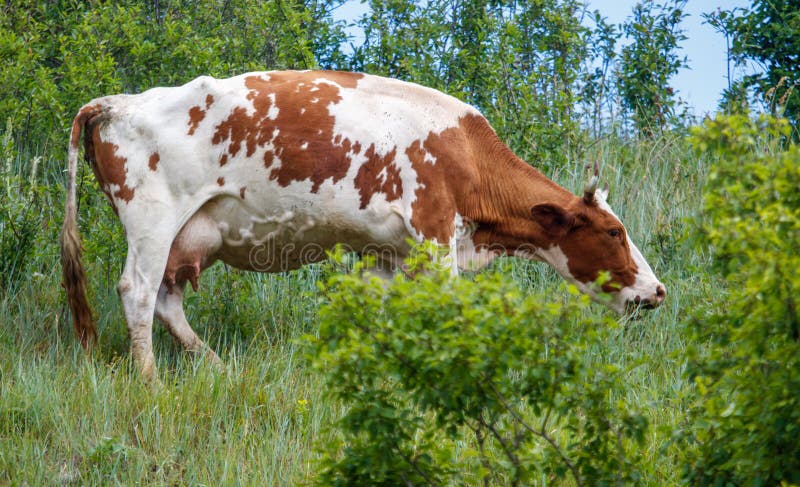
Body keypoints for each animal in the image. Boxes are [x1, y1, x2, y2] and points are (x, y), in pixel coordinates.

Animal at [61, 70, 666, 378]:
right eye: (614, 232)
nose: (657, 290)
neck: (467, 155)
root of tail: (116, 102)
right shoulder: (434, 234)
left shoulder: (386, 253)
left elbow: (375, 313)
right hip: (152, 221)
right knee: (138, 293)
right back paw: (149, 382)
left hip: (188, 237)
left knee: (167, 301)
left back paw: (214, 364)